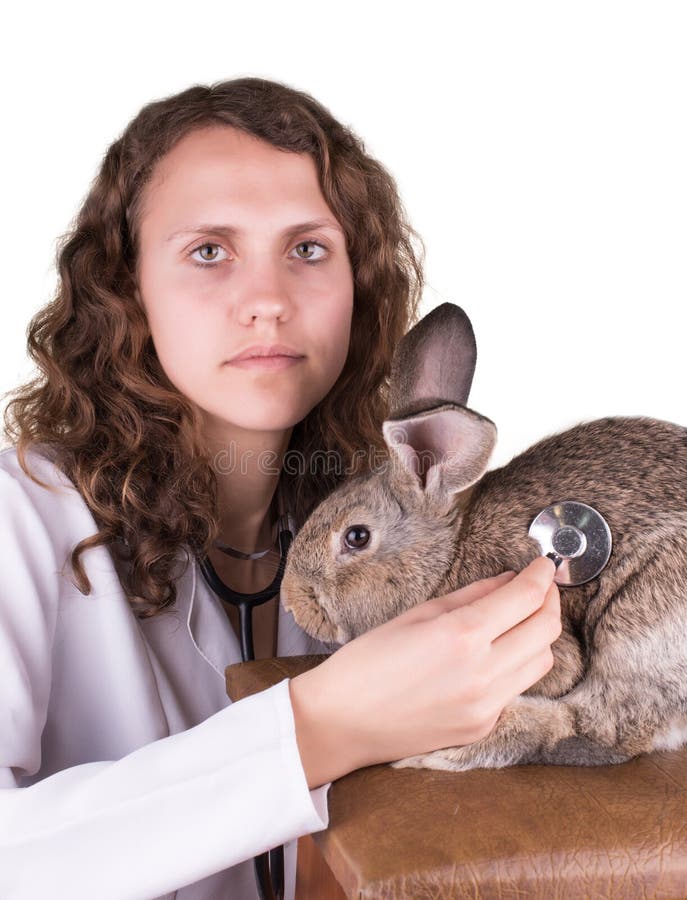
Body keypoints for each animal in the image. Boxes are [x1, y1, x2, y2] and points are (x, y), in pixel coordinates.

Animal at [280, 302, 687, 772]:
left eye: (357, 537)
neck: (447, 558)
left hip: (643, 615)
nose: (292, 603)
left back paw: (441, 753)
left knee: (600, 728)